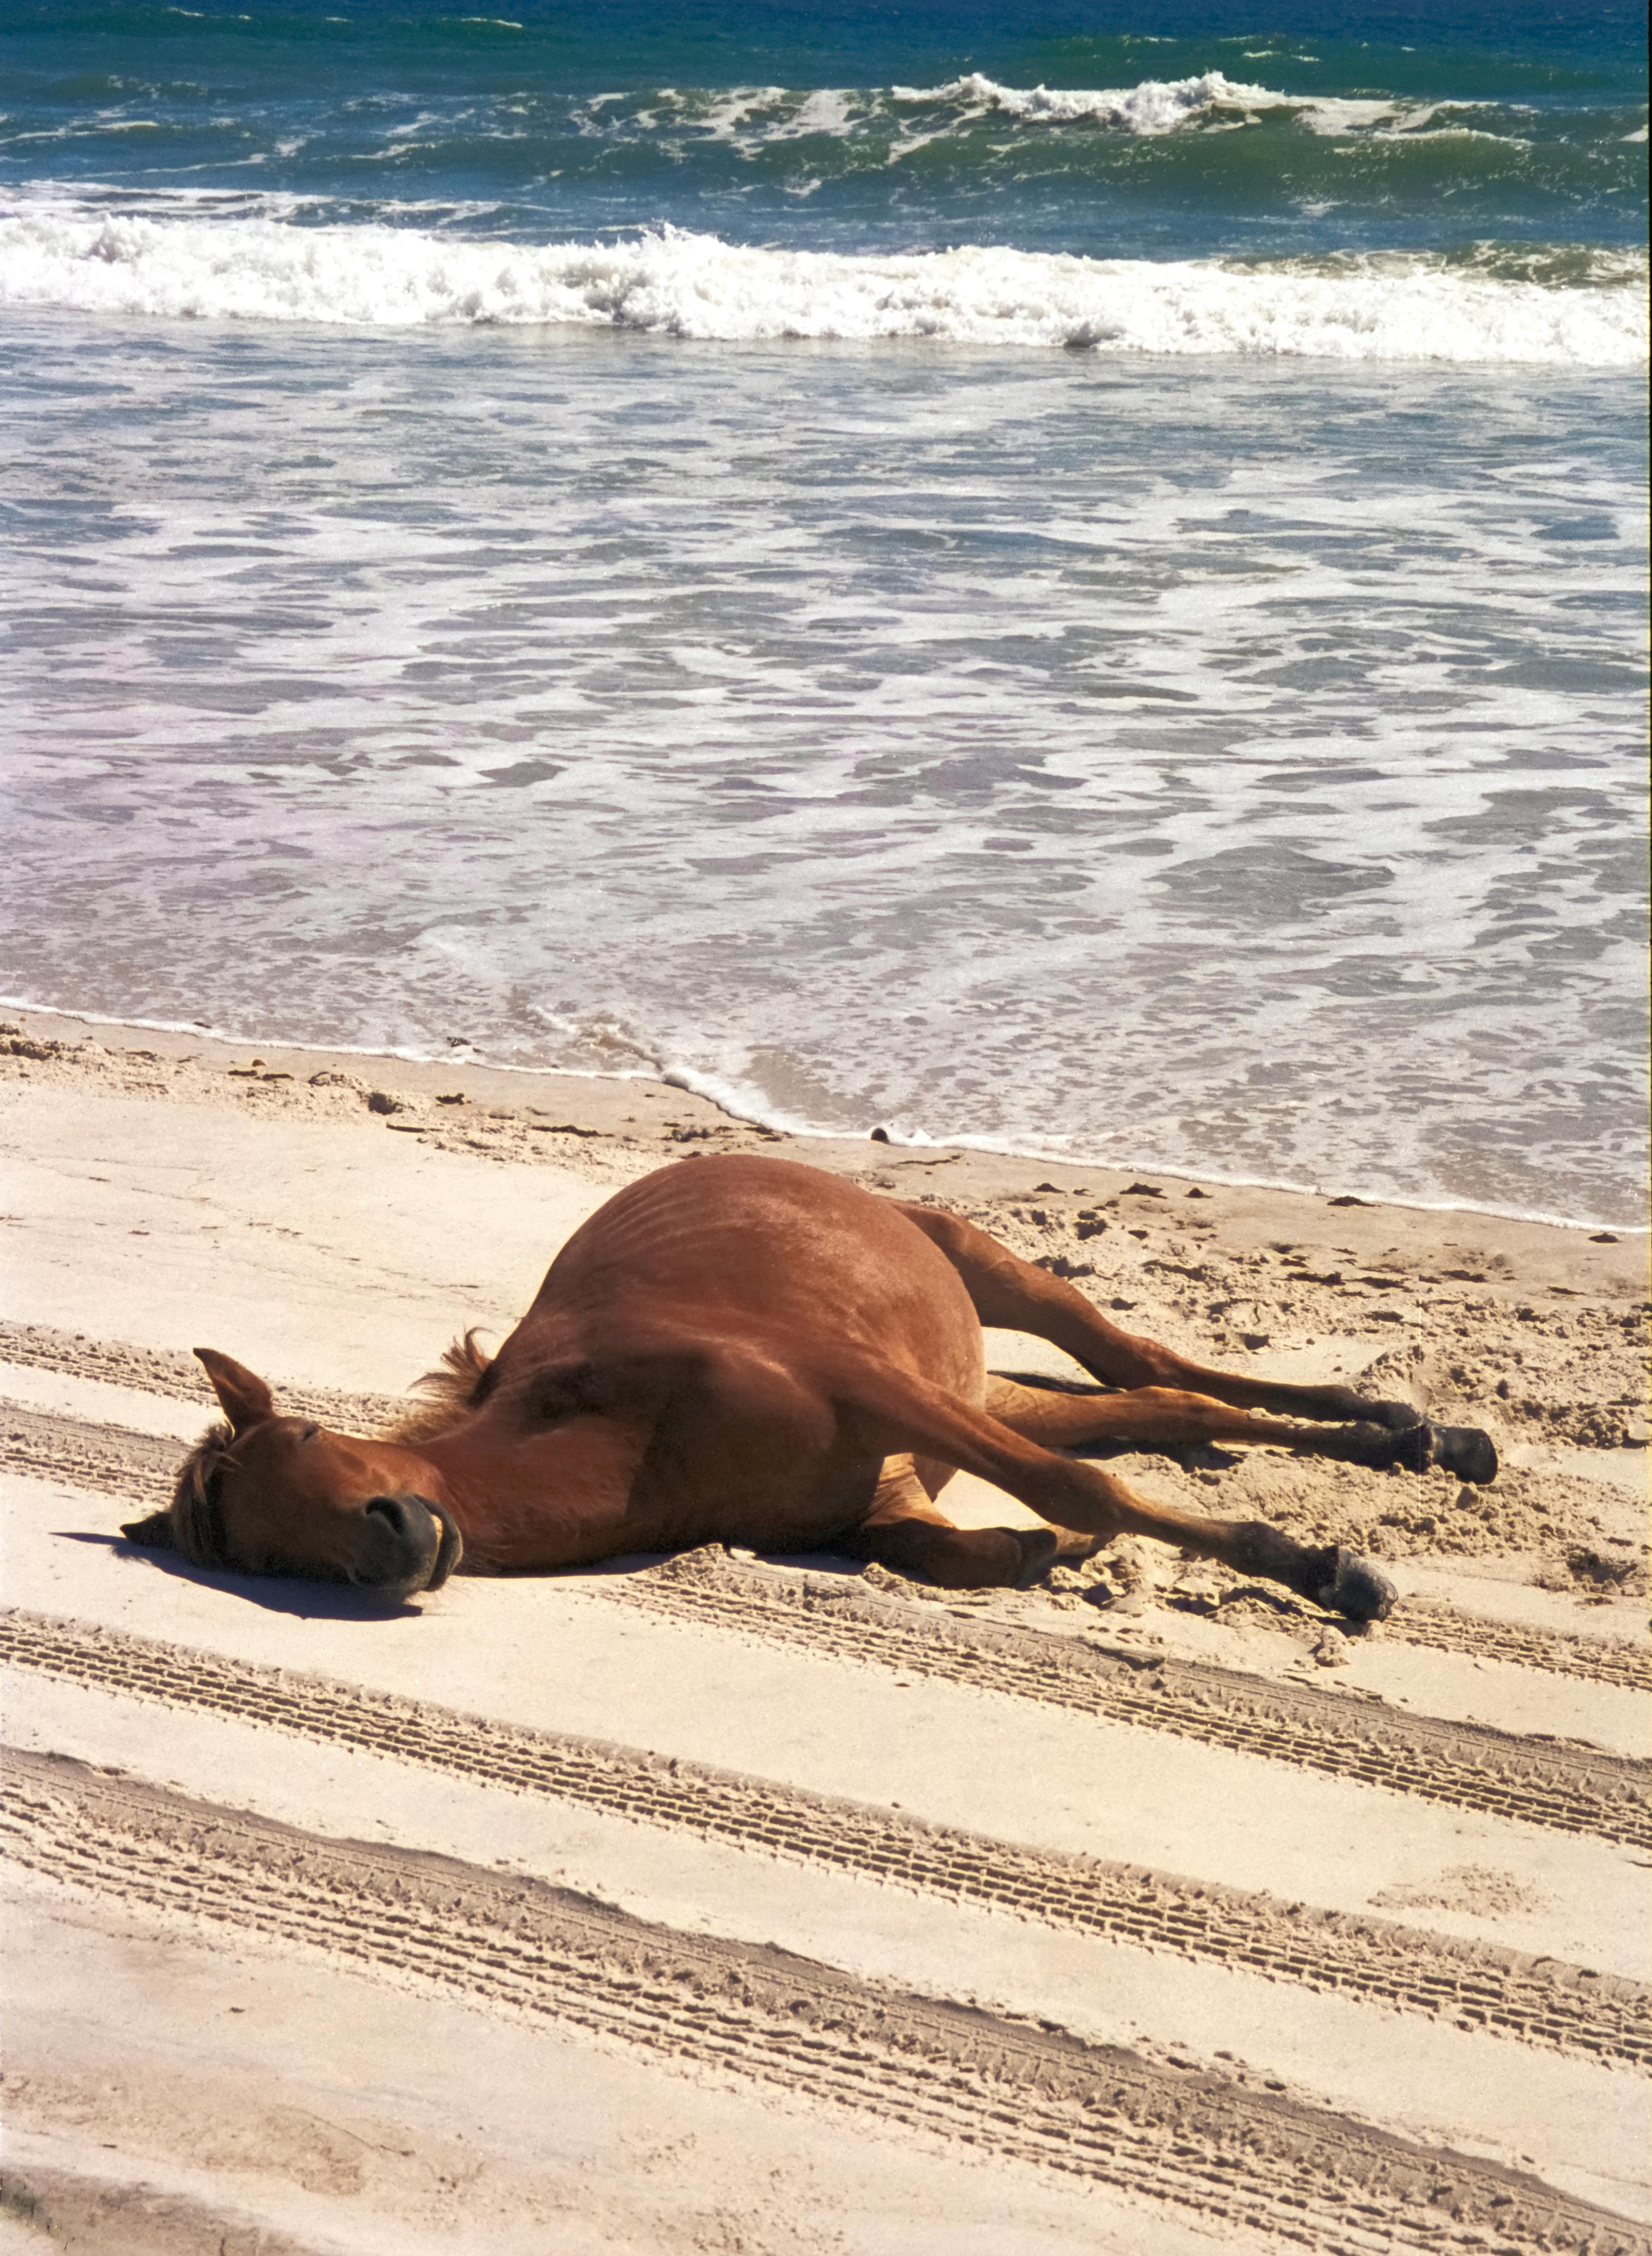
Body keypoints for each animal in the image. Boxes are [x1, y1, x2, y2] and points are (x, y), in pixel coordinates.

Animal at [122, 1154, 1497, 1620]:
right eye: (262, 1555)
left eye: (308, 1431)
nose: (398, 1539)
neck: (631, 1432)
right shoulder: (885, 1480)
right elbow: (971, 1539)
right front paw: (1036, 1557)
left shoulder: (881, 1396)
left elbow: (1083, 1493)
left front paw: (1320, 1569)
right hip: (984, 1384)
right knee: (1161, 1407)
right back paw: (1407, 1438)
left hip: (982, 1273)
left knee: (1145, 1369)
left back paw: (1416, 1434)